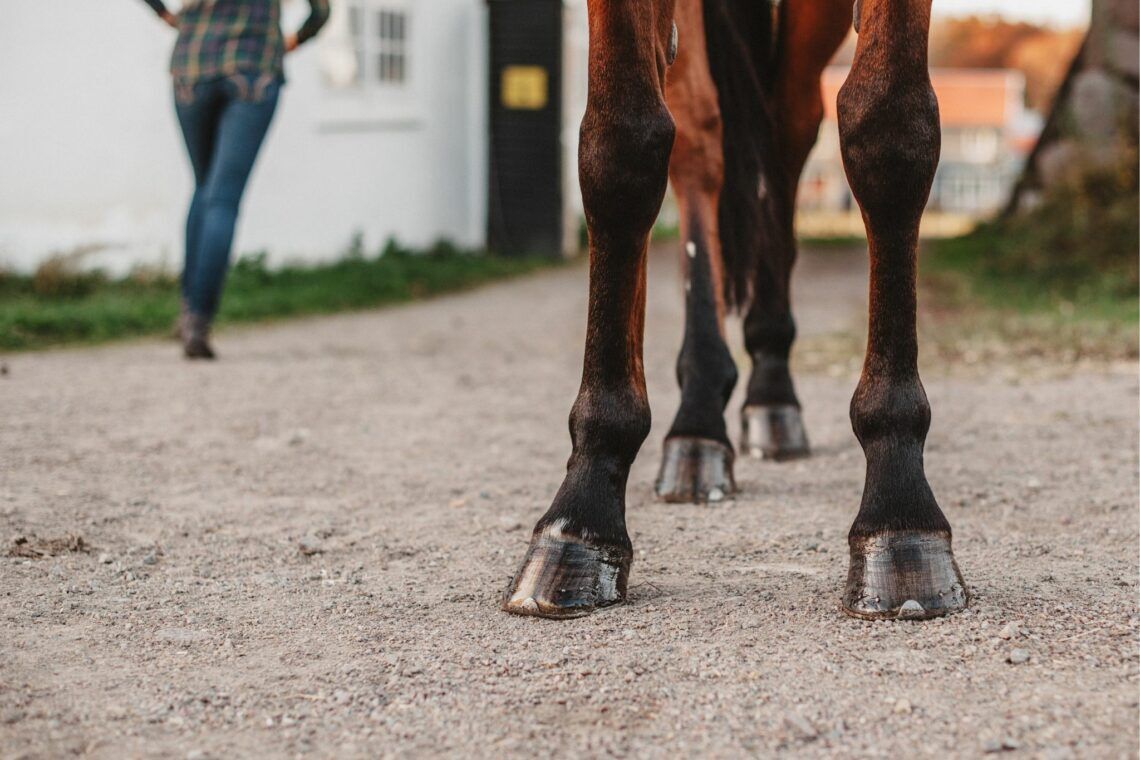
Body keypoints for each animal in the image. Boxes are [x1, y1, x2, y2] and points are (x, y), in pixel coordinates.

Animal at [502, 0, 969, 621]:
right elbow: (620, 144)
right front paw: (582, 512)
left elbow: (889, 126)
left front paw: (899, 507)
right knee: (700, 142)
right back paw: (698, 421)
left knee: (788, 125)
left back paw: (770, 390)